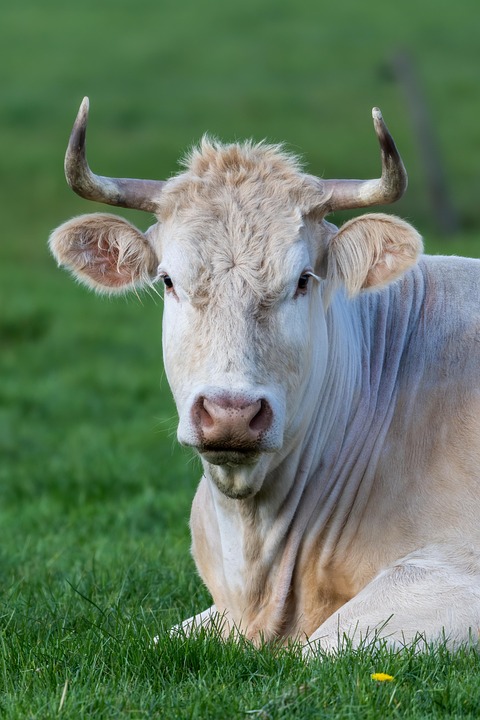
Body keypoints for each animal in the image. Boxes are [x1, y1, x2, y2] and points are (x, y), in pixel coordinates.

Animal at [49, 98, 480, 654]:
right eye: (168, 280)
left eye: (302, 280)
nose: (231, 413)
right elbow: (157, 642)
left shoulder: (450, 576)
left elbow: (322, 649)